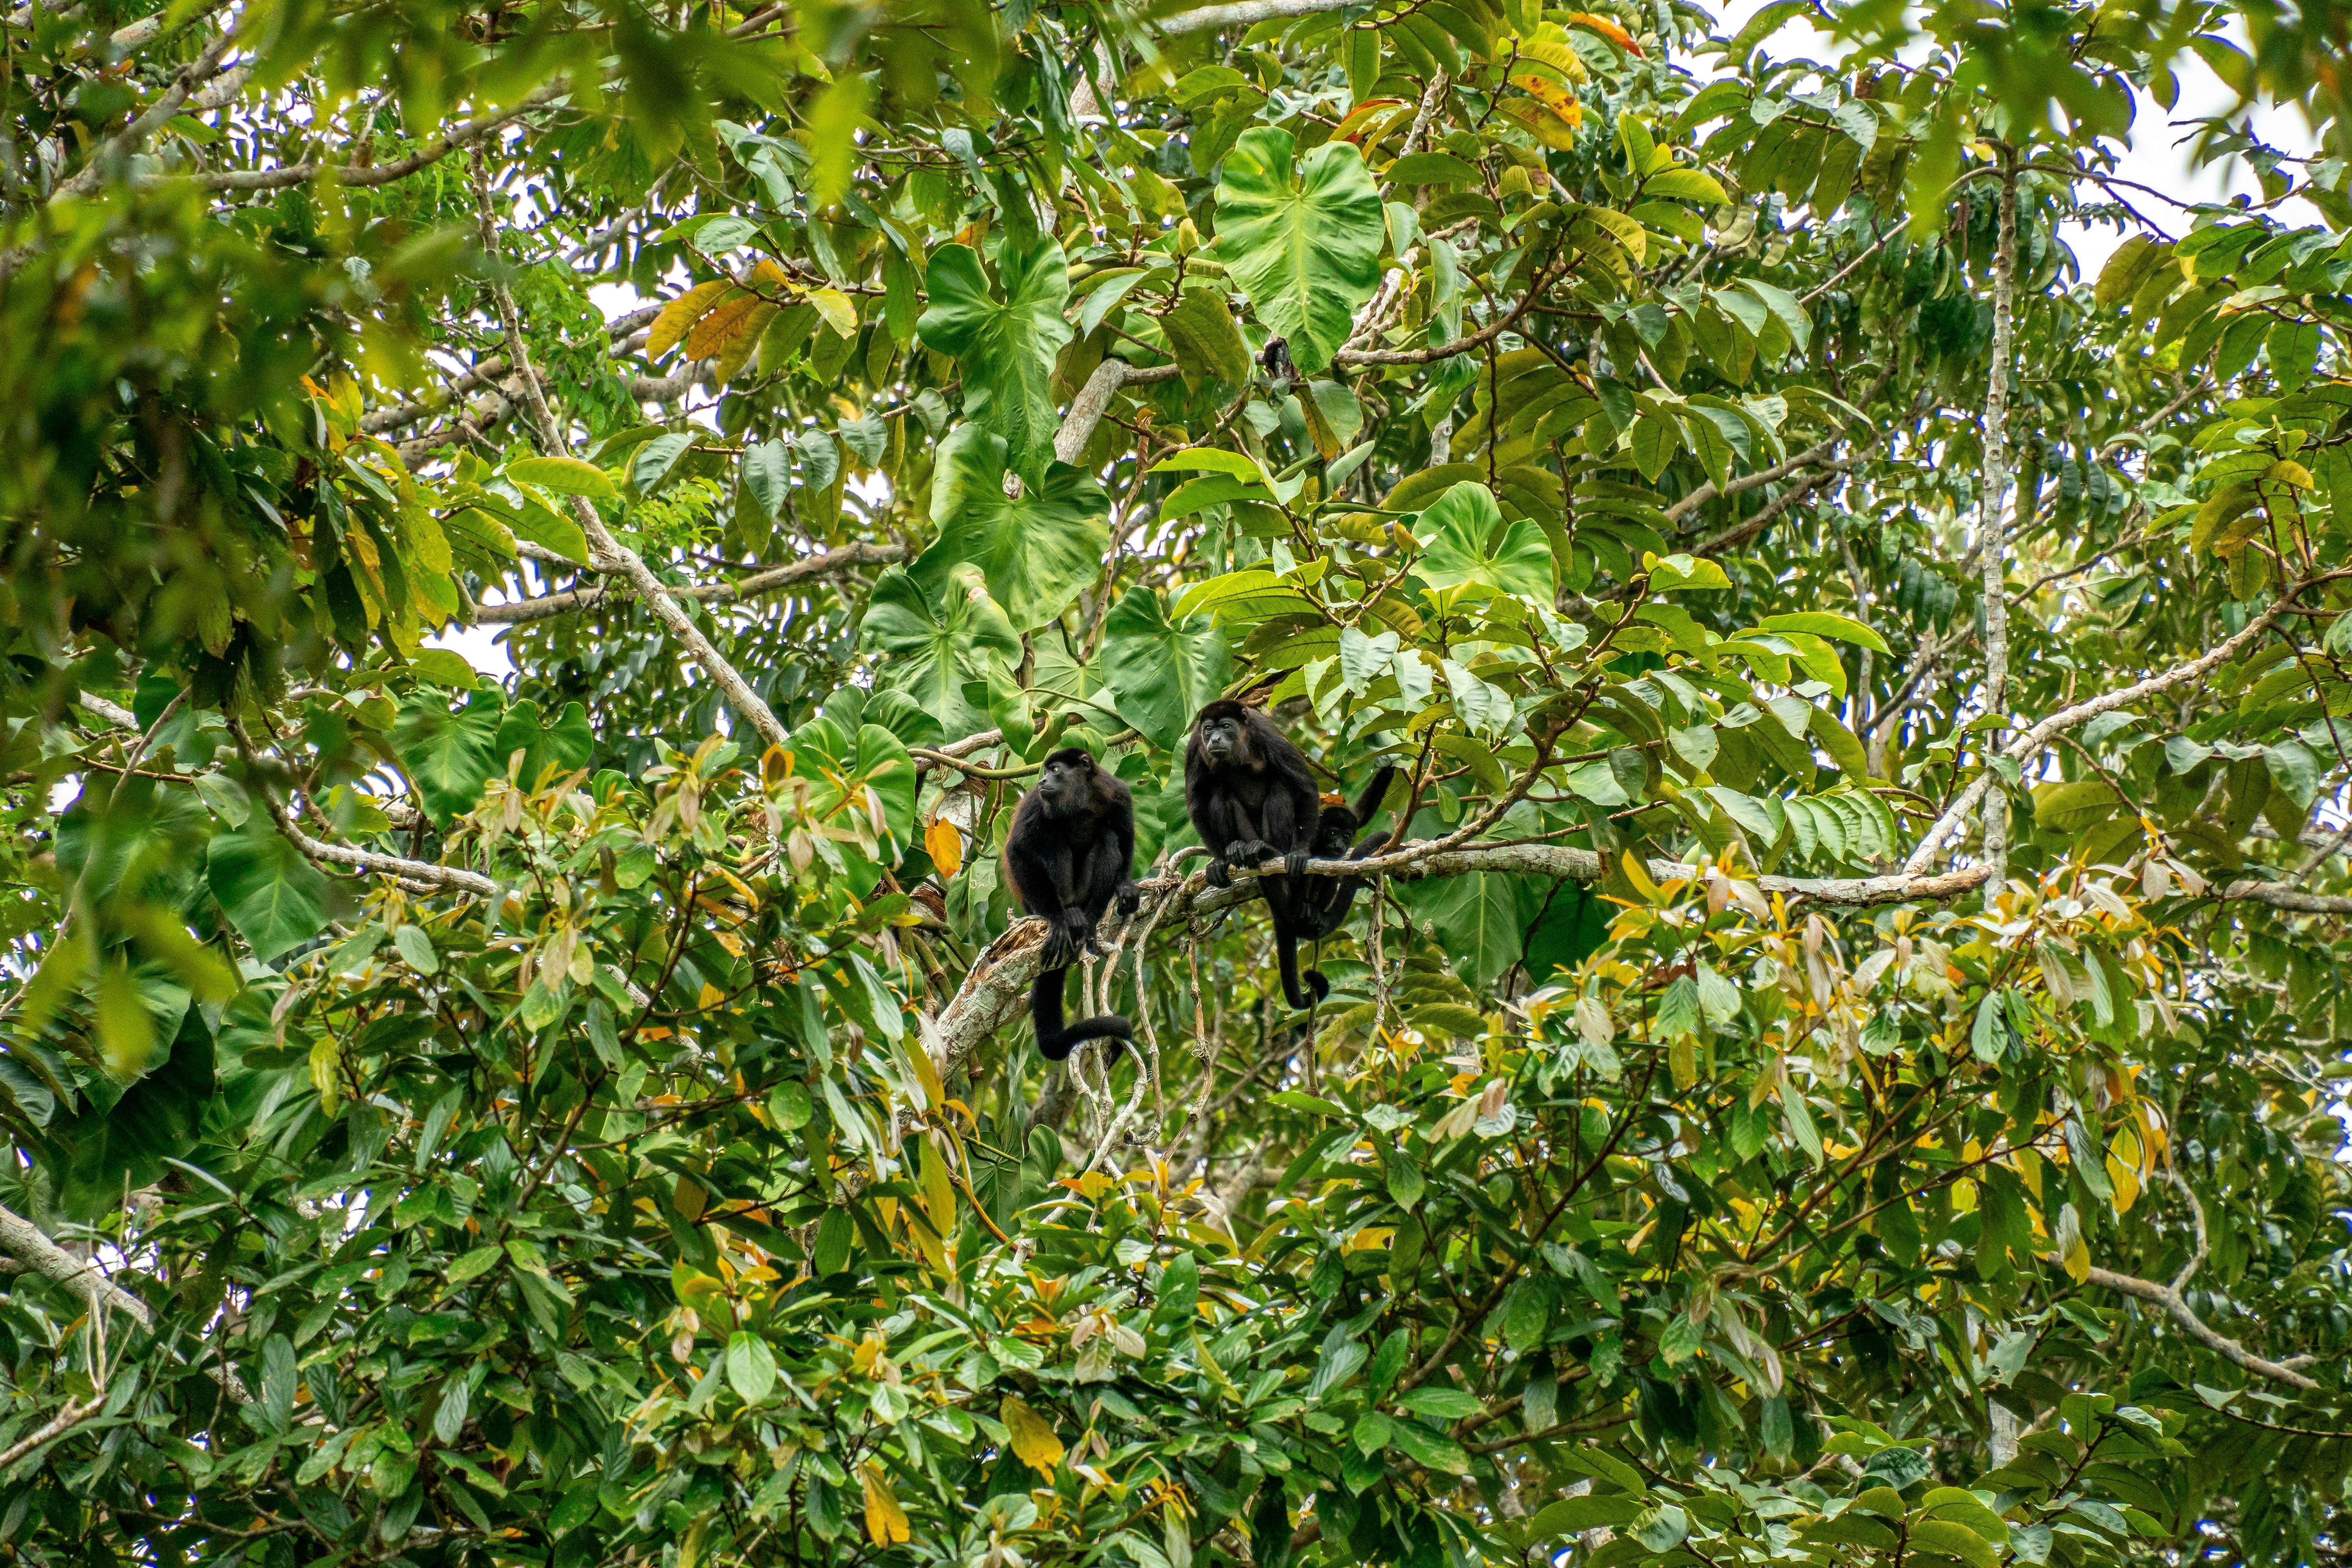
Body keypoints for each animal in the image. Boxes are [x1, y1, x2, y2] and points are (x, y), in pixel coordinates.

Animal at [1002, 748, 1142, 1061]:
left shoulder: (1117, 791)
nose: (1043, 780)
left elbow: (1125, 834)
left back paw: (1089, 918)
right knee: (1050, 839)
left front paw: (1125, 885)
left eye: (1055, 770)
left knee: (1108, 837)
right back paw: (1068, 914)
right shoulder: (1037, 801)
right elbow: (1017, 849)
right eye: (1046, 771)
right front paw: (1055, 919)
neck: (1081, 798)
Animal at [1183, 699, 1323, 1005]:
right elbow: (1197, 802)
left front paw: (1300, 853)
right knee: (1219, 793)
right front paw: (1219, 860)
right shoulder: (1194, 747)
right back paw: (1236, 851)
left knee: (1282, 787)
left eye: (1226, 727)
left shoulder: (1268, 736)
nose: (1214, 739)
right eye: (1208, 729)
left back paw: (1269, 852)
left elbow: (1306, 786)